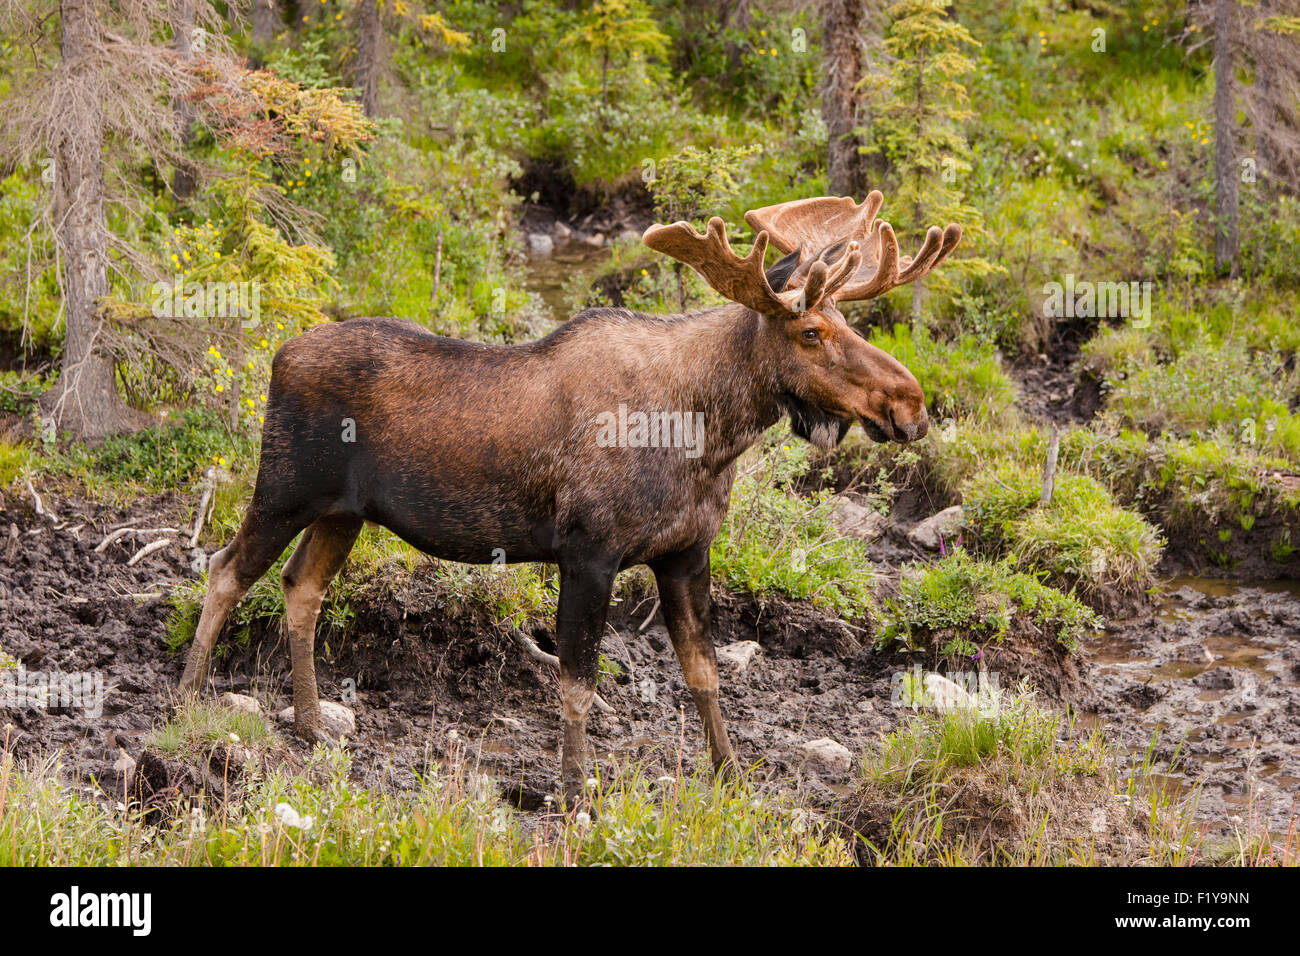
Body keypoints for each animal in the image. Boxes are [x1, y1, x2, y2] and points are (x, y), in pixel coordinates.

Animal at [177, 191, 961, 803]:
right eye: (810, 331)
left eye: (851, 323)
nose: (910, 403)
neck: (706, 435)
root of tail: (281, 355)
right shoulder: (589, 552)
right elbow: (578, 685)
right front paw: (576, 792)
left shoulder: (685, 553)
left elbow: (703, 672)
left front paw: (732, 773)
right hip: (285, 487)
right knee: (224, 569)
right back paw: (188, 700)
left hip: (344, 512)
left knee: (300, 587)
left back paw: (312, 725)